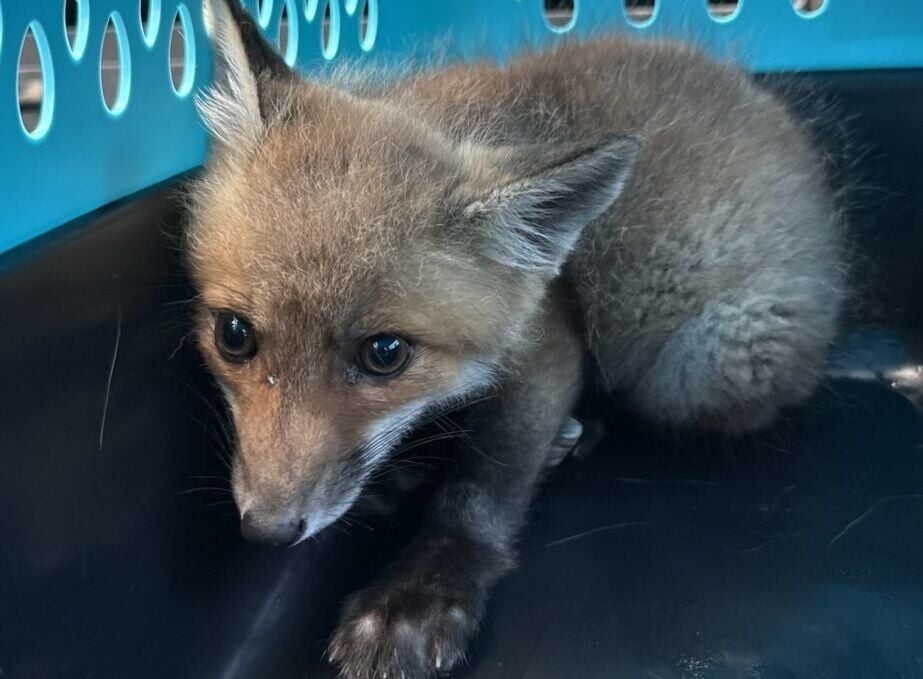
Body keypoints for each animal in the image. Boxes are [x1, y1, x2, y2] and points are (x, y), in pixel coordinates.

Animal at [186, 1, 845, 677]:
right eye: (233, 335)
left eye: (385, 354)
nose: (266, 530)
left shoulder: (550, 342)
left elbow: (484, 483)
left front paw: (420, 595)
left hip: (701, 366)